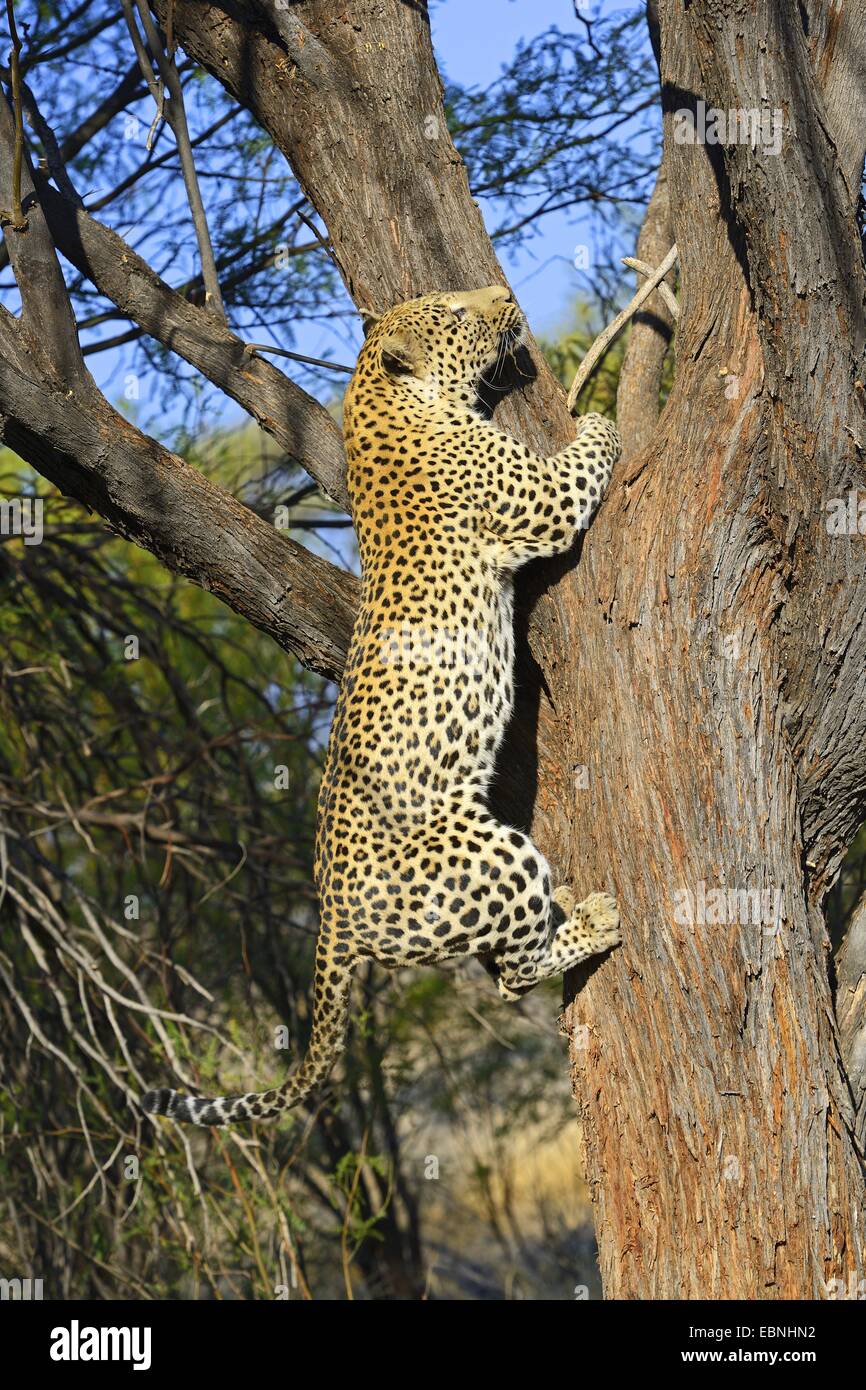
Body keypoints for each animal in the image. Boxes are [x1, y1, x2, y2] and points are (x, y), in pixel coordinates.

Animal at [142, 285, 622, 1127]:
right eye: (456, 313)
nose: (504, 295)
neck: (379, 399)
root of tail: (331, 913)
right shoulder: (537, 503)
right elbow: (576, 469)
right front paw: (601, 417)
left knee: (502, 967)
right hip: (486, 854)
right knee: (515, 975)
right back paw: (591, 922)